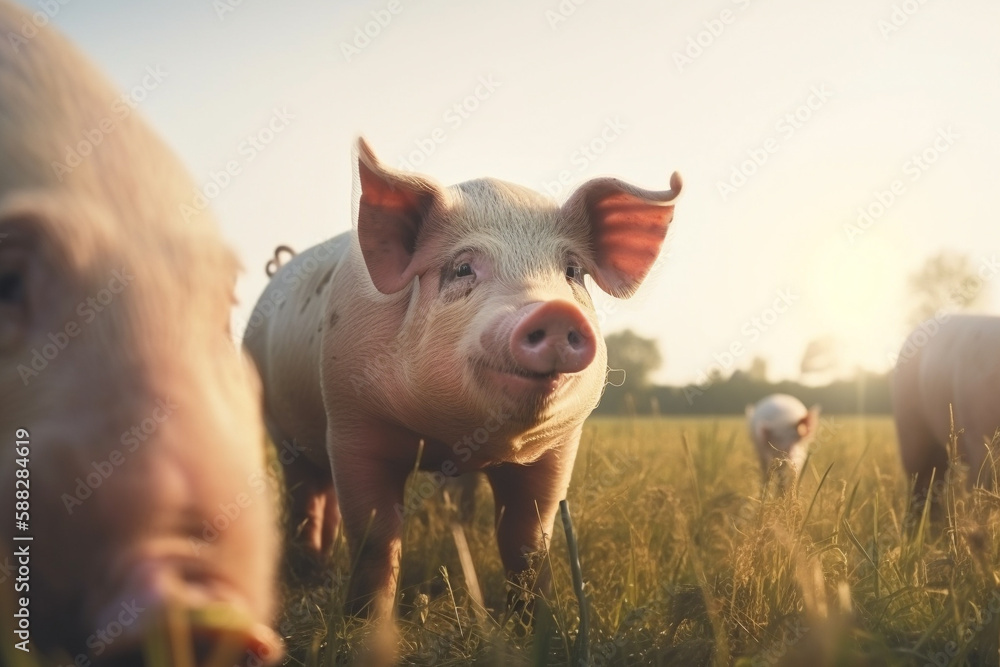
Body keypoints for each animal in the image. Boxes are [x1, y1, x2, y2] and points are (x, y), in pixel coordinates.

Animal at [244, 138, 682, 653]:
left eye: (572, 271)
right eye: (463, 268)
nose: (553, 311)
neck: (451, 439)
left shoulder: (558, 446)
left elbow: (527, 539)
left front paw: (536, 633)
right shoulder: (351, 421)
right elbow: (376, 537)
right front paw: (365, 633)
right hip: (279, 428)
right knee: (305, 499)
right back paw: (311, 577)